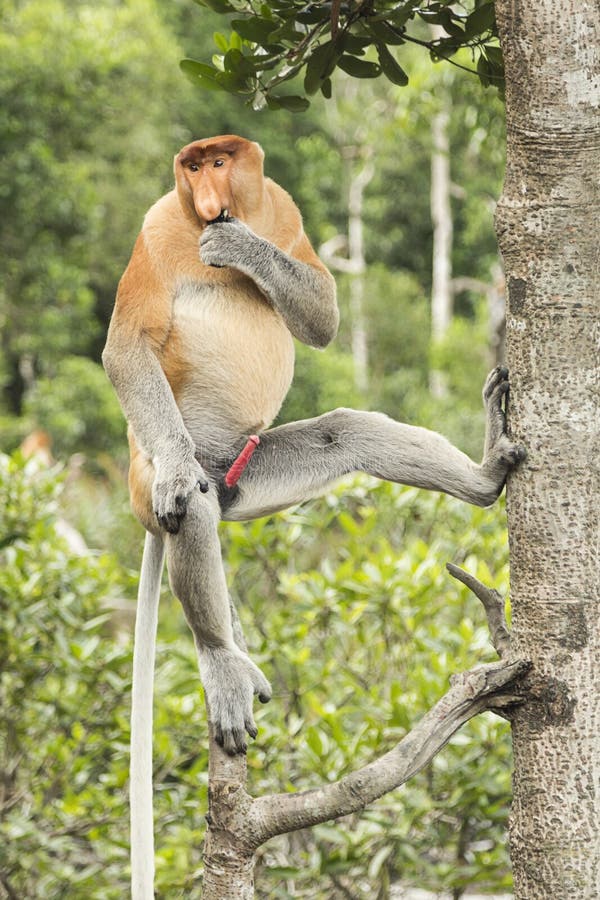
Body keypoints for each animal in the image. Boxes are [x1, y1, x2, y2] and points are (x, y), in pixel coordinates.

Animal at [102, 134, 524, 898]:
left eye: (219, 162)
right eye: (192, 165)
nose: (207, 198)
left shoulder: (285, 212)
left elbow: (324, 311)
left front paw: (239, 247)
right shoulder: (155, 230)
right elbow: (128, 346)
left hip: (253, 471)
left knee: (347, 433)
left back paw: (485, 478)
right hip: (157, 474)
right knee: (189, 509)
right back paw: (222, 659)